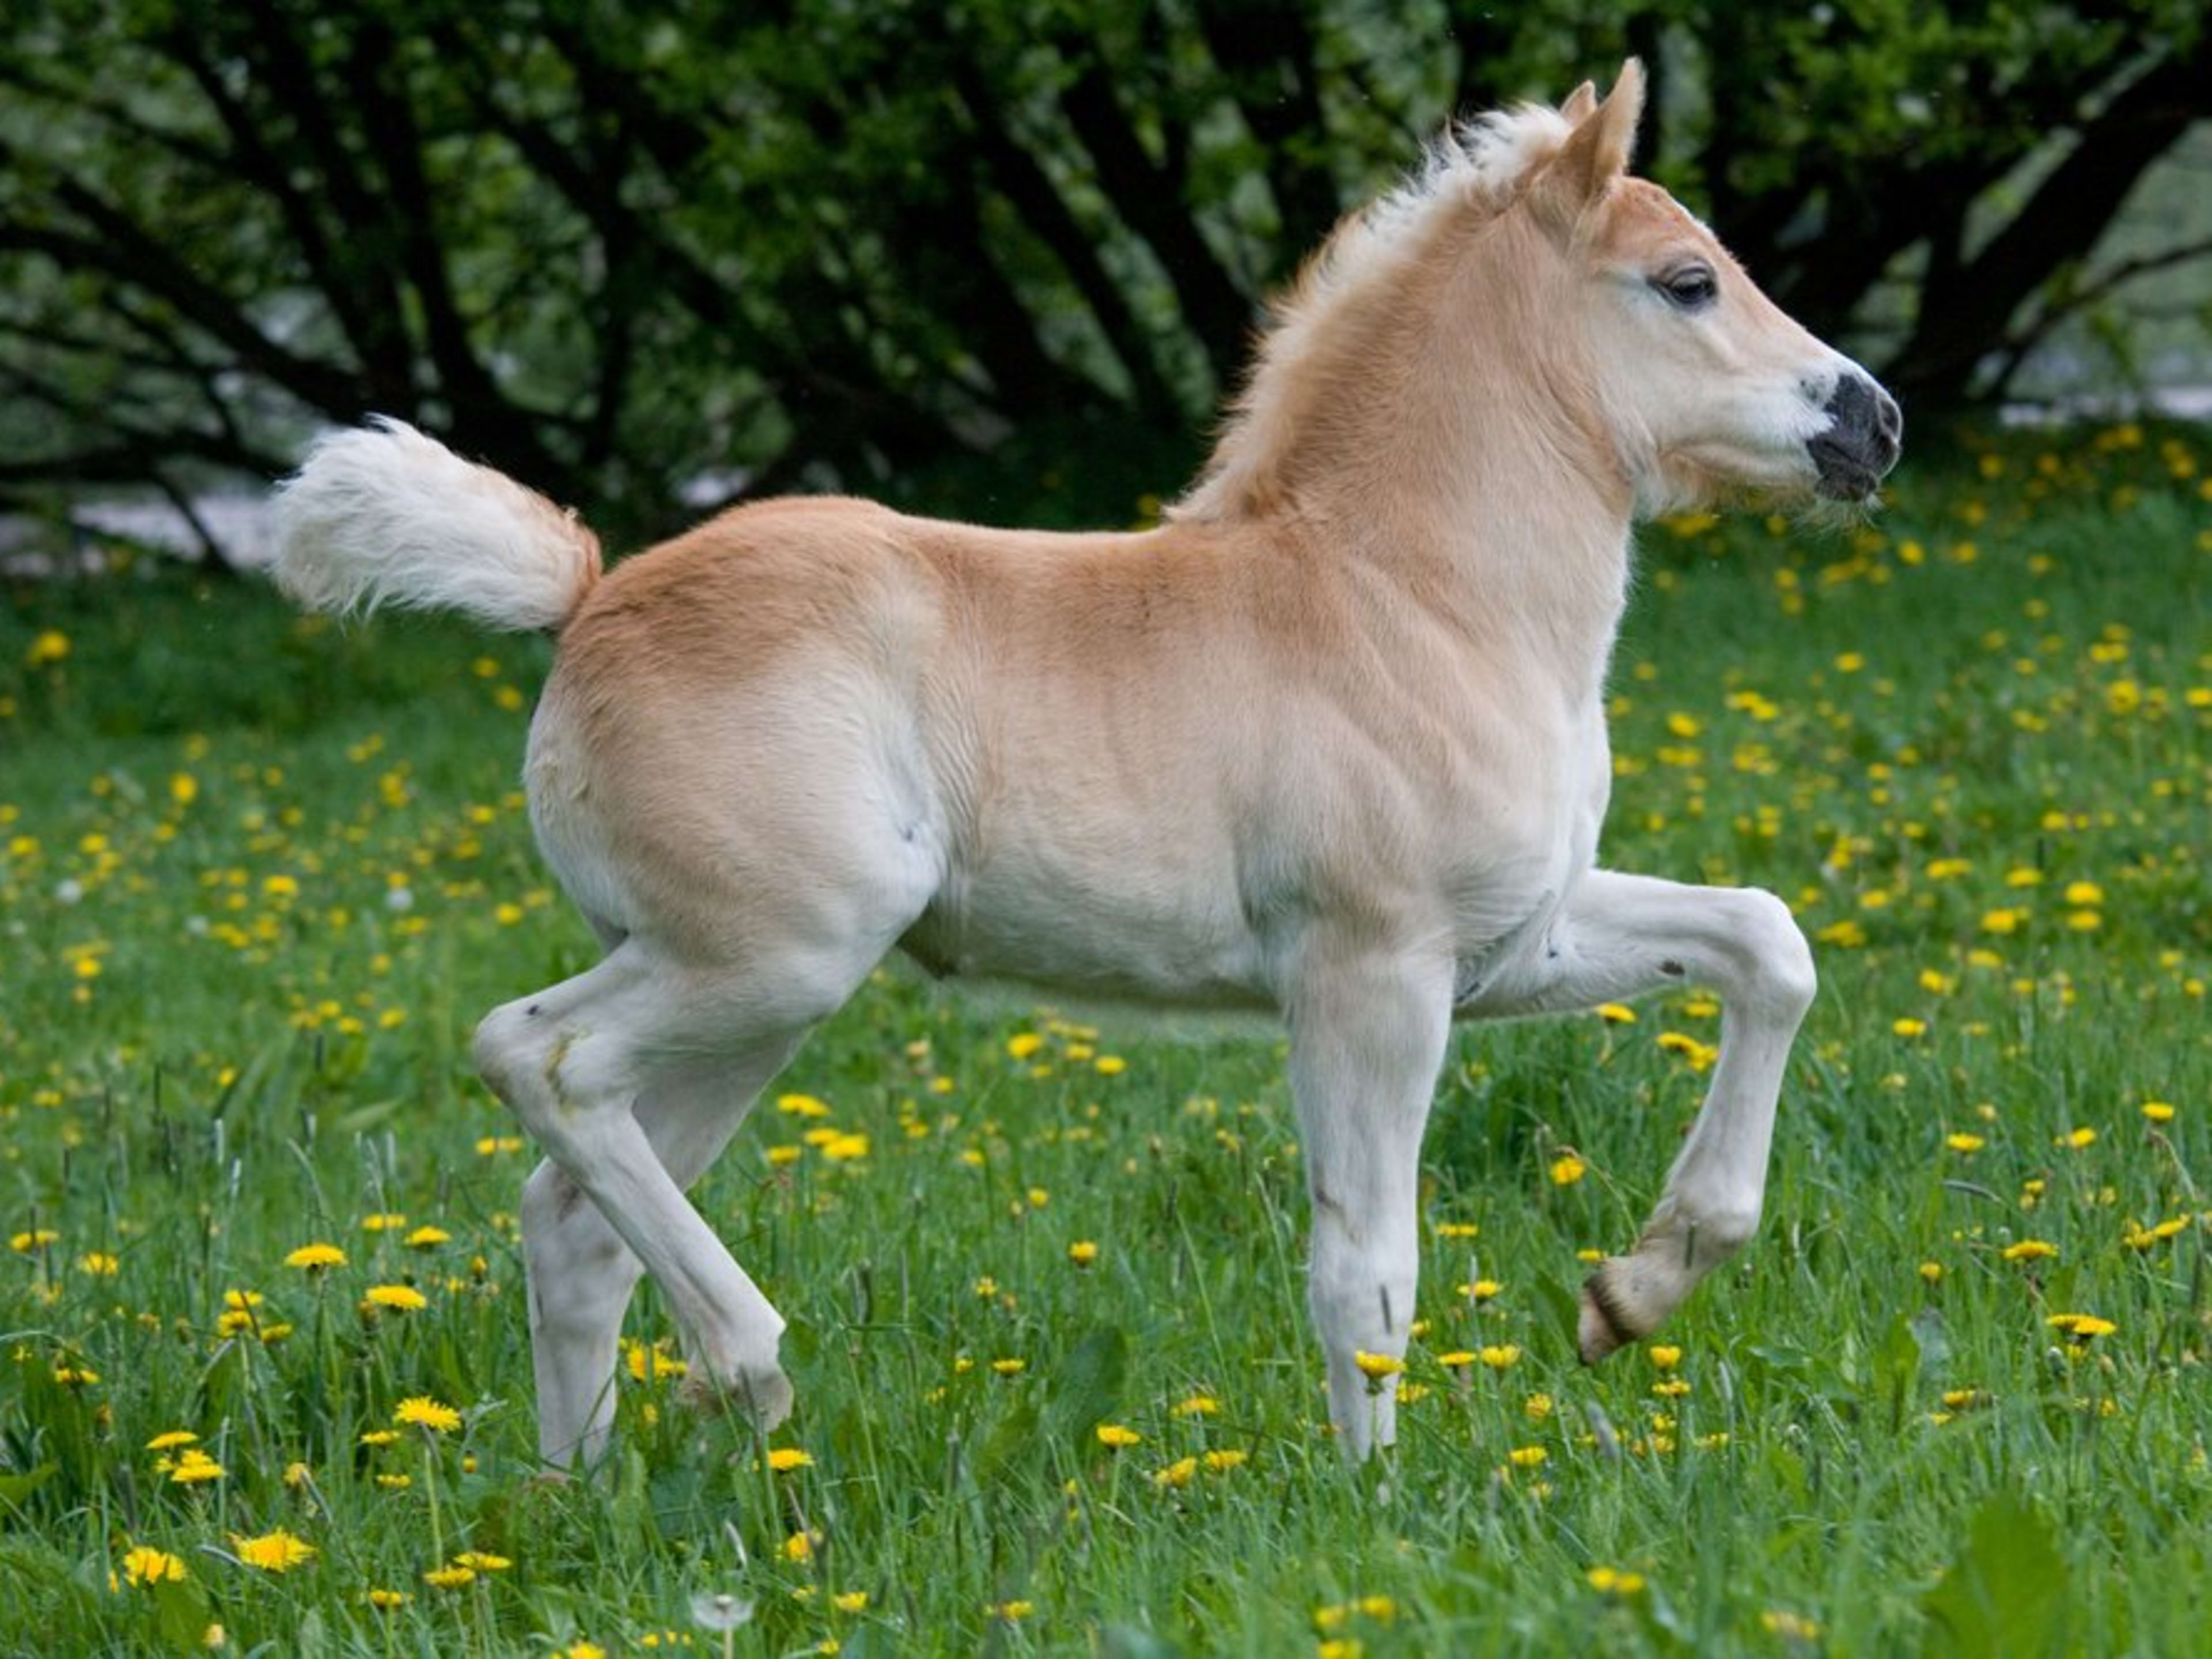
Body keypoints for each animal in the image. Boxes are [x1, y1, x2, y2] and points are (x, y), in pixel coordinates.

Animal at [271, 61, 1900, 1468]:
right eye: (1686, 282)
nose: (1872, 420)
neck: (1410, 596)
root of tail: (591, 597)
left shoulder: (1513, 946)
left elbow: (1767, 943)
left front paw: (1635, 1293)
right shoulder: (1370, 973)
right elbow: (1365, 1270)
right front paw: (1373, 1508)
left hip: (743, 1003)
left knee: (570, 1212)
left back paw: (583, 1503)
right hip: (770, 958)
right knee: (534, 1057)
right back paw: (746, 1366)